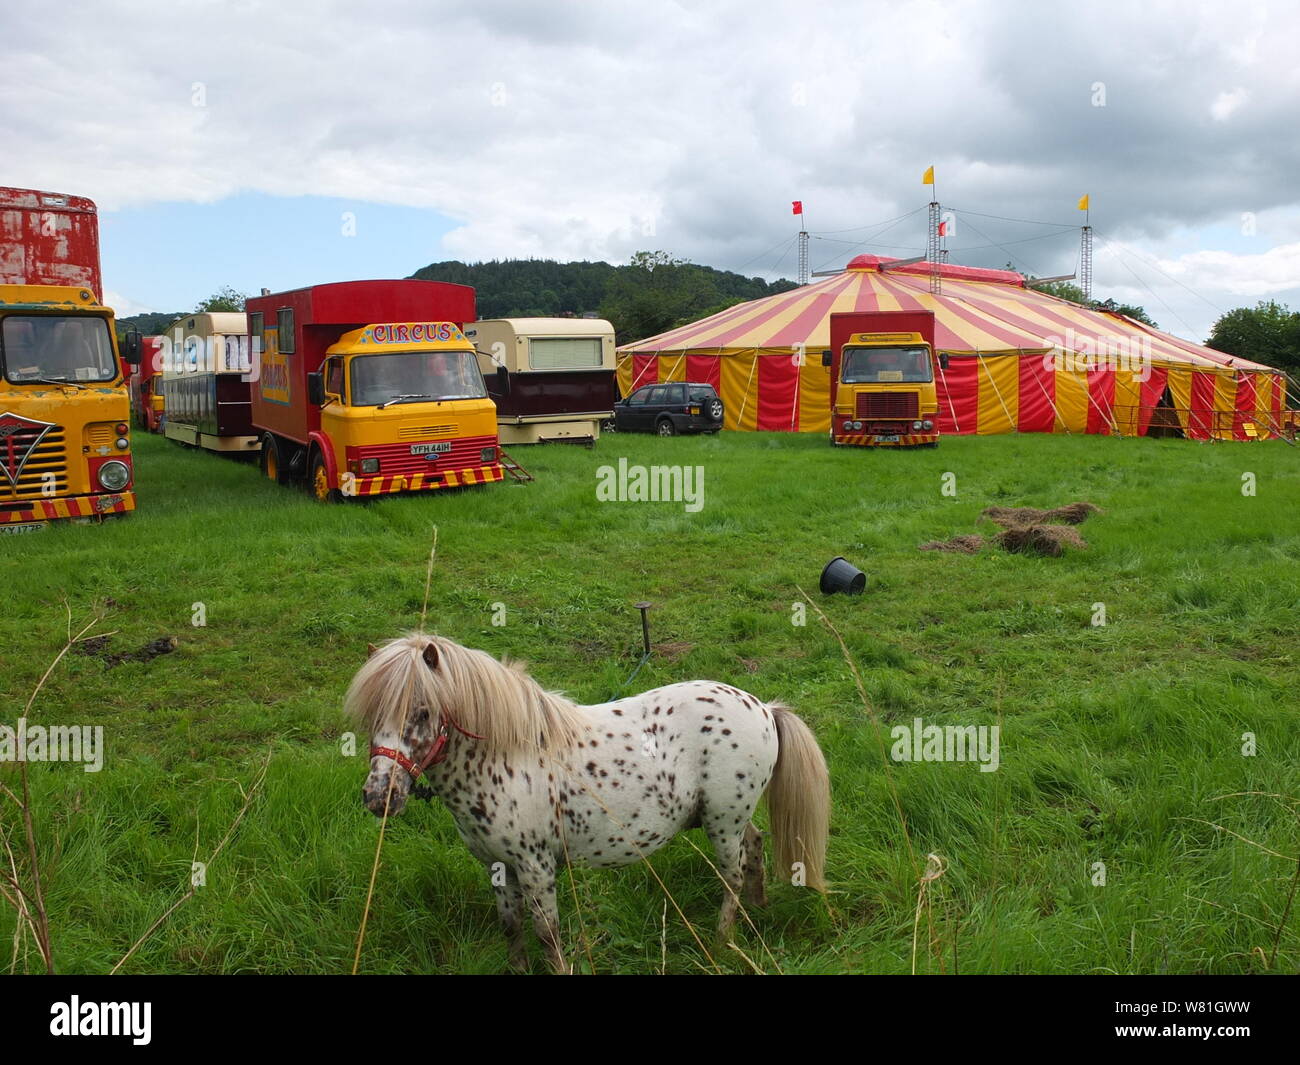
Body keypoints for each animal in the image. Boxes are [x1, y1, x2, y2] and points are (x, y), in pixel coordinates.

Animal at [346, 631, 830, 973]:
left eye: (423, 712)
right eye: (372, 716)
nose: (379, 797)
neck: (506, 757)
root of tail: (763, 708)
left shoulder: (536, 867)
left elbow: (548, 935)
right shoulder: (498, 866)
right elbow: (511, 927)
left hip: (722, 824)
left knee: (731, 874)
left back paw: (722, 939)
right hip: (727, 819)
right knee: (756, 845)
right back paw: (757, 910)